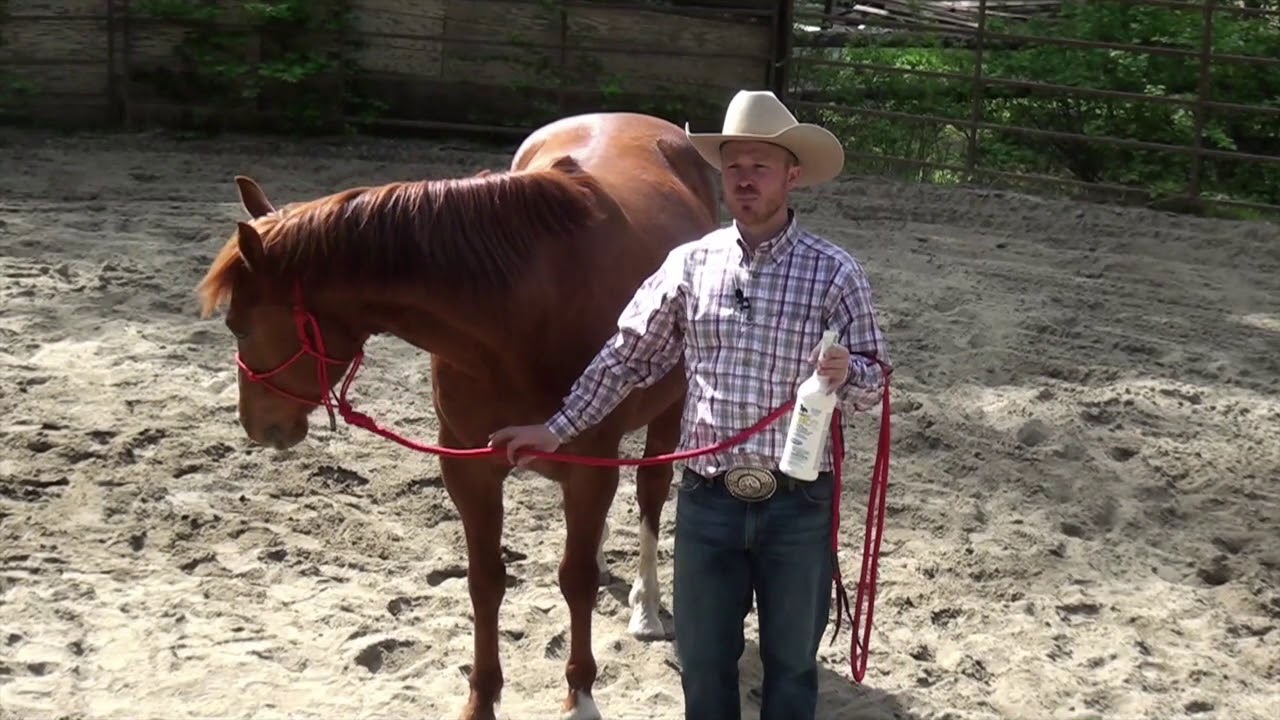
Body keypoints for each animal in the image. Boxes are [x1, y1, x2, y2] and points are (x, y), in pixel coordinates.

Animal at [195, 111, 721, 720]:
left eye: (237, 326)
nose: (256, 426)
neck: (521, 313)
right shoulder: (468, 466)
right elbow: (485, 582)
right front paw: (481, 699)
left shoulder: (589, 470)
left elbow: (576, 581)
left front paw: (580, 697)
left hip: (670, 414)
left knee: (652, 497)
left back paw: (647, 605)